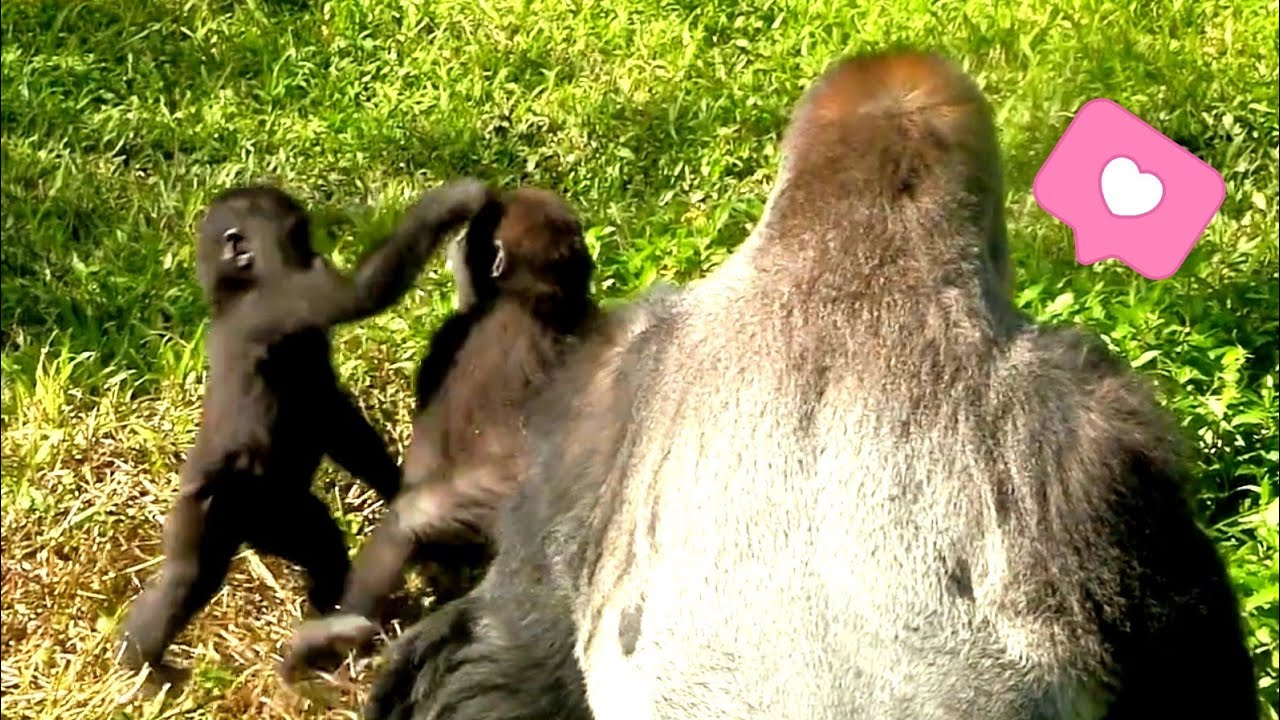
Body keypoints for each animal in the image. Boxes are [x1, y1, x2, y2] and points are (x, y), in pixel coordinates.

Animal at [116, 179, 494, 677]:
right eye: (296, 234)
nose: (314, 252)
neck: (235, 291)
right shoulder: (282, 298)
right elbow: (360, 292)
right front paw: (453, 200)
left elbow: (339, 422)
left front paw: (396, 486)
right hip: (217, 504)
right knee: (189, 577)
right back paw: (141, 666)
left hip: (278, 516)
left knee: (318, 544)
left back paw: (330, 619)